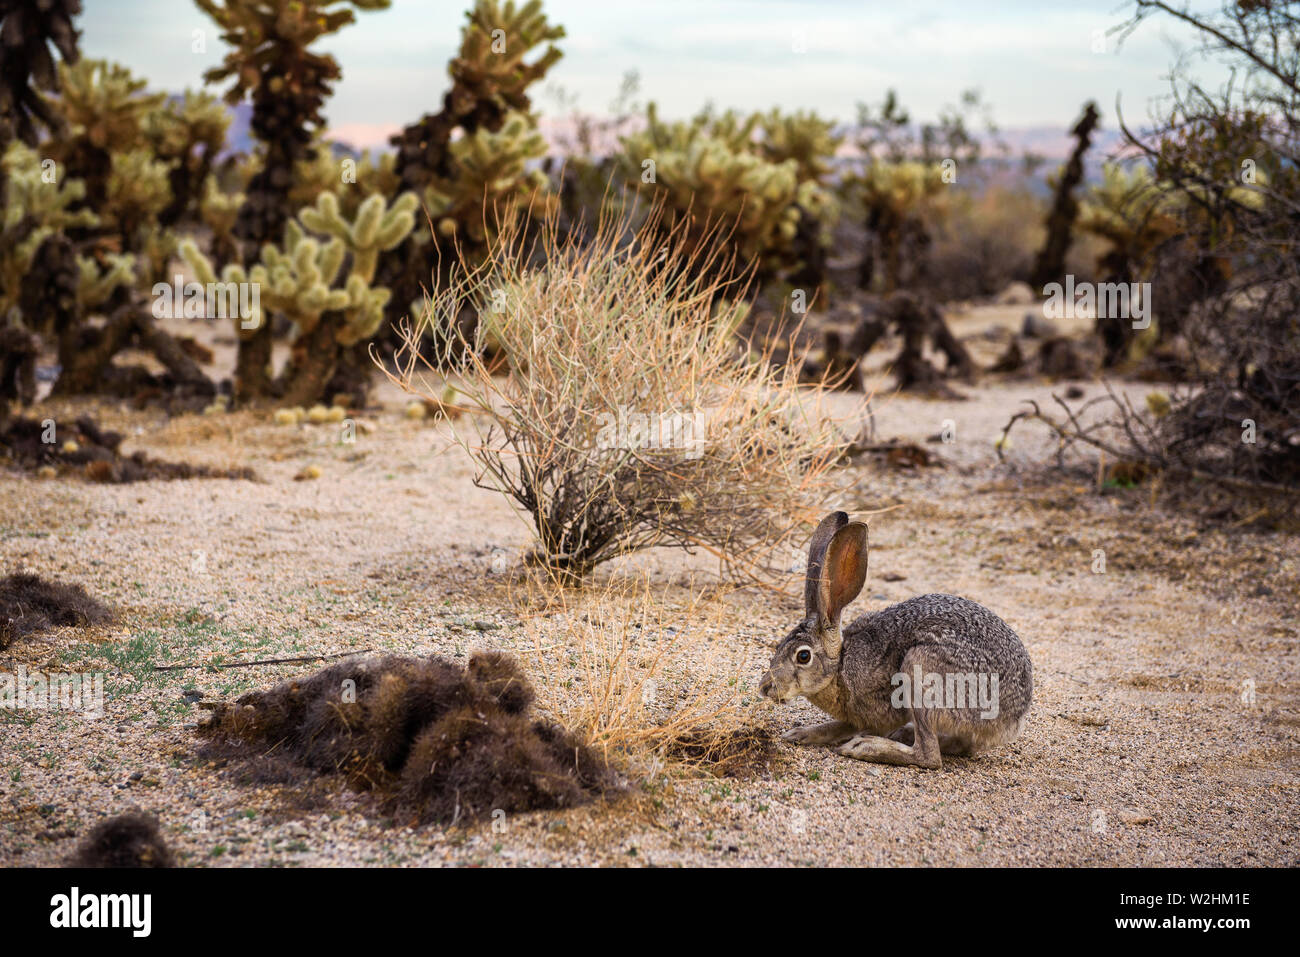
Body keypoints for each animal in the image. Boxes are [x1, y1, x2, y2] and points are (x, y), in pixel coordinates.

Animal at [759, 510, 1032, 768]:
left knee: (929, 755)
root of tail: (1012, 717)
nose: (765, 687)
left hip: (921, 672)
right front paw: (799, 734)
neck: (840, 668)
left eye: (803, 656)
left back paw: (866, 747)